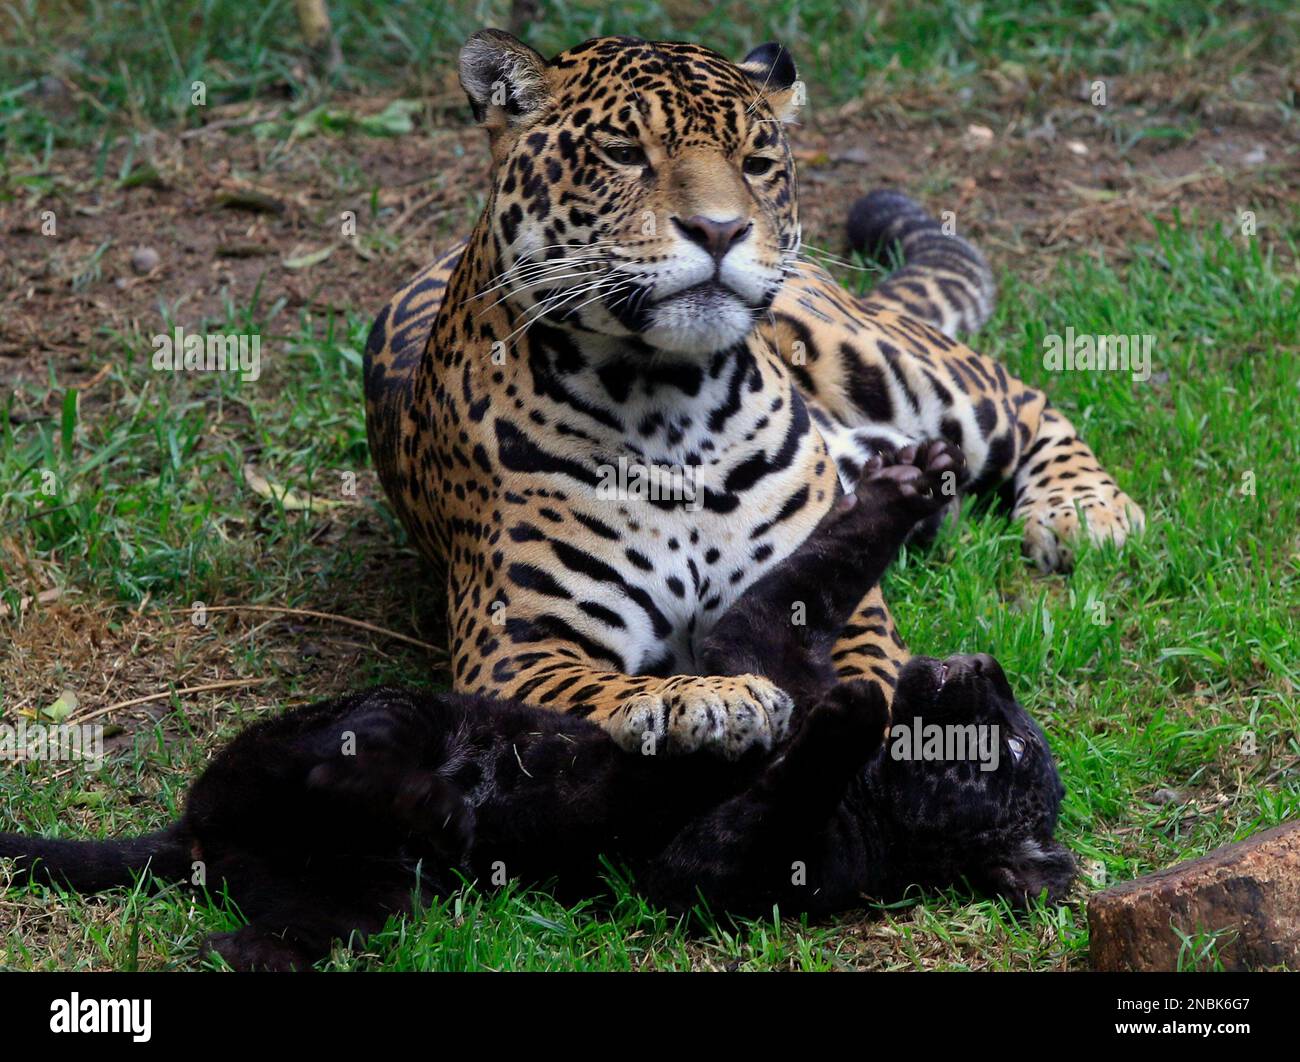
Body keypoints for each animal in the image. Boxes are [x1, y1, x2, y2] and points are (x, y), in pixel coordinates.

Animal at [362, 30, 1144, 760]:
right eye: (623, 152)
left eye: (757, 164)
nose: (720, 229)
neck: (669, 404)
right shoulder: (516, 647)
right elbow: (606, 687)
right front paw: (708, 698)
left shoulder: (845, 601)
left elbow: (870, 671)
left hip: (868, 353)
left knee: (1022, 396)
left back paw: (1083, 509)